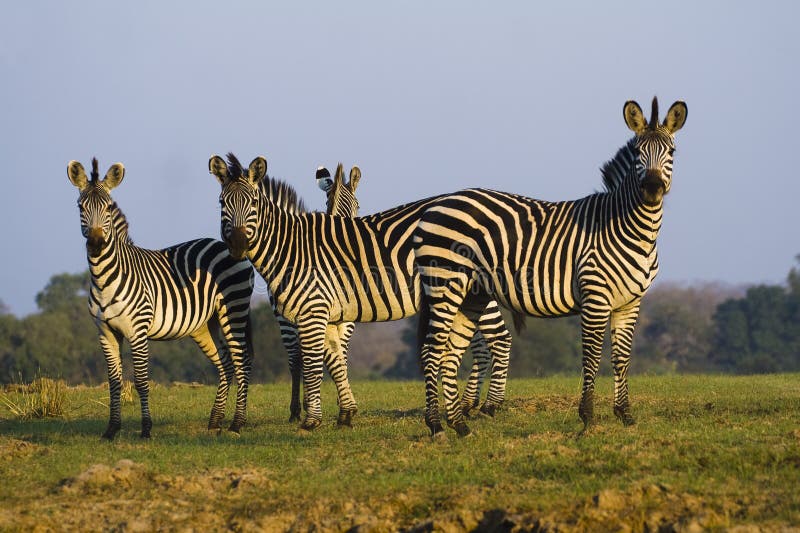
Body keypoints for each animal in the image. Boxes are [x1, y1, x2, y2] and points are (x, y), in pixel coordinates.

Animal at [68, 158, 255, 439]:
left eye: (108, 207)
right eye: (80, 206)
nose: (97, 244)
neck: (104, 279)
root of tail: (230, 246)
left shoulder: (137, 330)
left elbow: (141, 381)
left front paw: (146, 429)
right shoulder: (106, 332)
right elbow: (114, 382)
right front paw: (111, 429)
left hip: (234, 310)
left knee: (242, 362)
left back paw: (237, 424)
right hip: (206, 324)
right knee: (226, 365)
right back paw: (215, 422)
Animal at [209, 153, 514, 431]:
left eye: (253, 203)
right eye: (222, 203)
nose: (237, 245)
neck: (292, 247)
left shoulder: (315, 309)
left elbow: (315, 362)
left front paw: (313, 419)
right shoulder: (326, 313)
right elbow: (333, 359)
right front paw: (344, 412)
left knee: (499, 339)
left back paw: (488, 405)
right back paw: (474, 404)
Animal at [412, 97, 687, 436]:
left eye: (671, 152)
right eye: (638, 153)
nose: (651, 188)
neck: (631, 229)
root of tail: (435, 206)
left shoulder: (630, 302)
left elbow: (621, 358)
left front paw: (625, 414)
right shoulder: (595, 297)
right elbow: (591, 357)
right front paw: (587, 417)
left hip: (471, 295)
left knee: (450, 354)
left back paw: (459, 425)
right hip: (444, 284)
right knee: (432, 351)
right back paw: (436, 426)